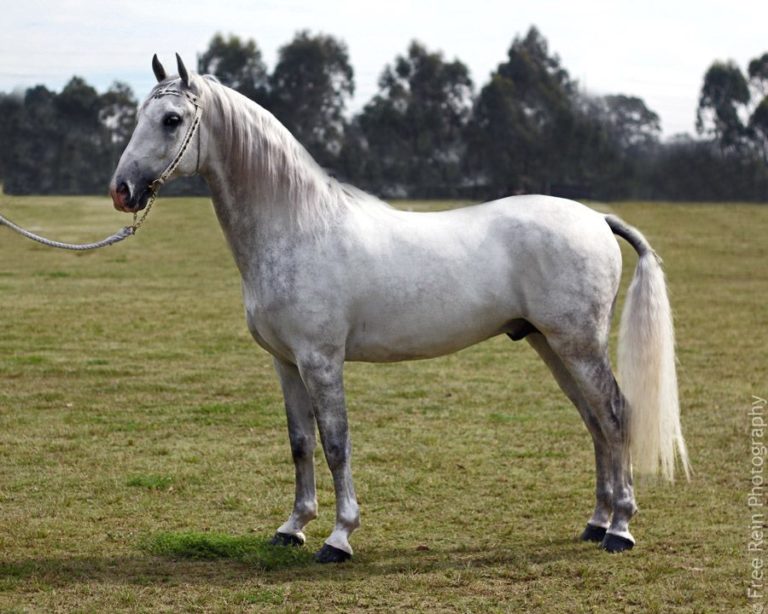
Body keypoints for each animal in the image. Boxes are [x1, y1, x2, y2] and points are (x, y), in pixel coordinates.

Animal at [109, 54, 690, 563]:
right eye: (138, 115)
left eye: (171, 119)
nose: (122, 190)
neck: (298, 225)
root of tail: (596, 218)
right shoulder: (286, 363)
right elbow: (300, 443)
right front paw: (292, 528)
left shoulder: (321, 361)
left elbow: (335, 442)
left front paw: (338, 537)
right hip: (553, 345)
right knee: (595, 422)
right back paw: (596, 523)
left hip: (578, 343)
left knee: (615, 415)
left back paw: (620, 529)